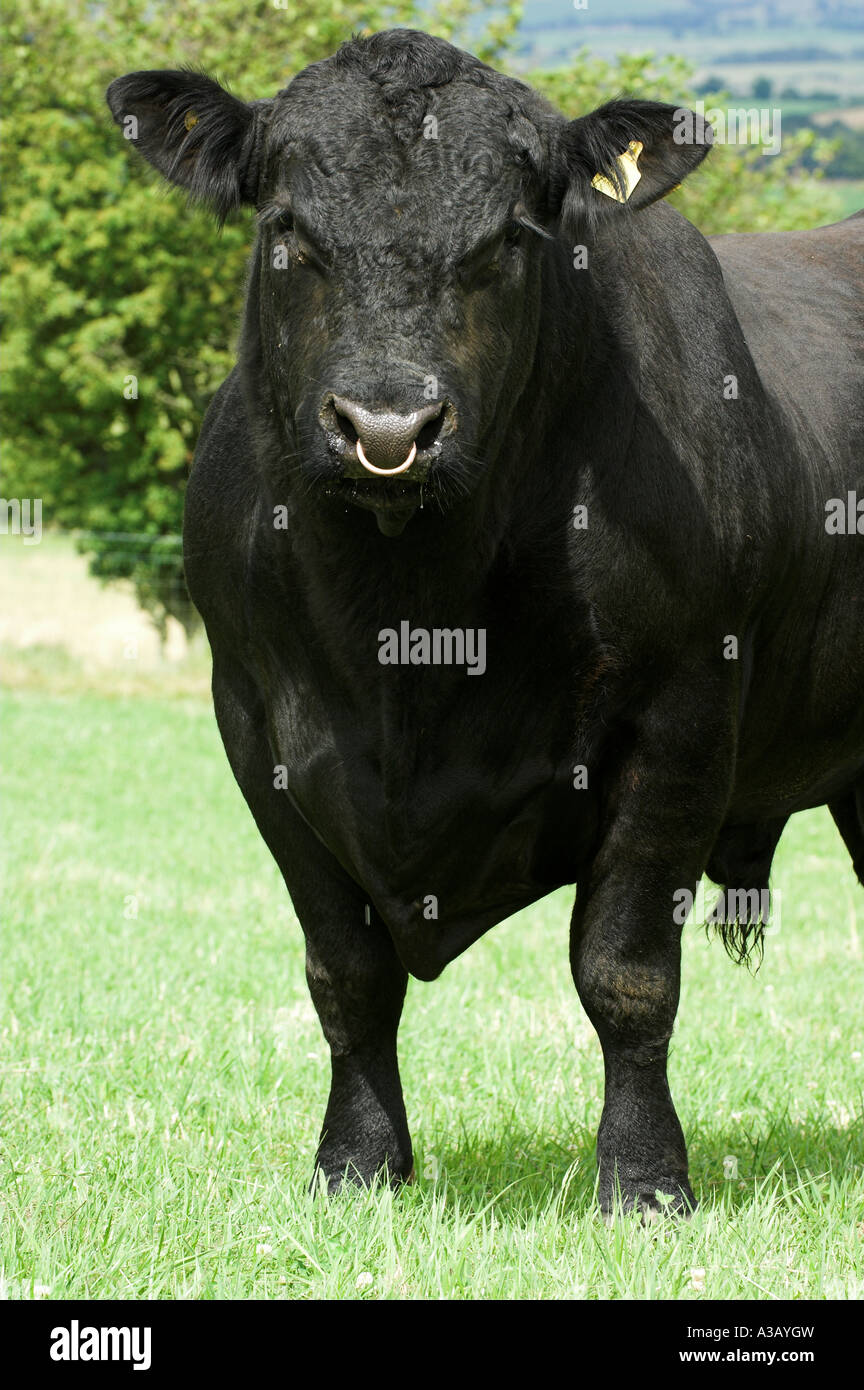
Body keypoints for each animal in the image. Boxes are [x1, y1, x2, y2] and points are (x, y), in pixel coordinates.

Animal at [107, 28, 864, 1216]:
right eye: (288, 229)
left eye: (510, 236)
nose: (387, 426)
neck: (407, 620)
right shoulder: (250, 717)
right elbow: (347, 971)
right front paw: (356, 1164)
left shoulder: (683, 712)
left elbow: (624, 970)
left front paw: (645, 1182)